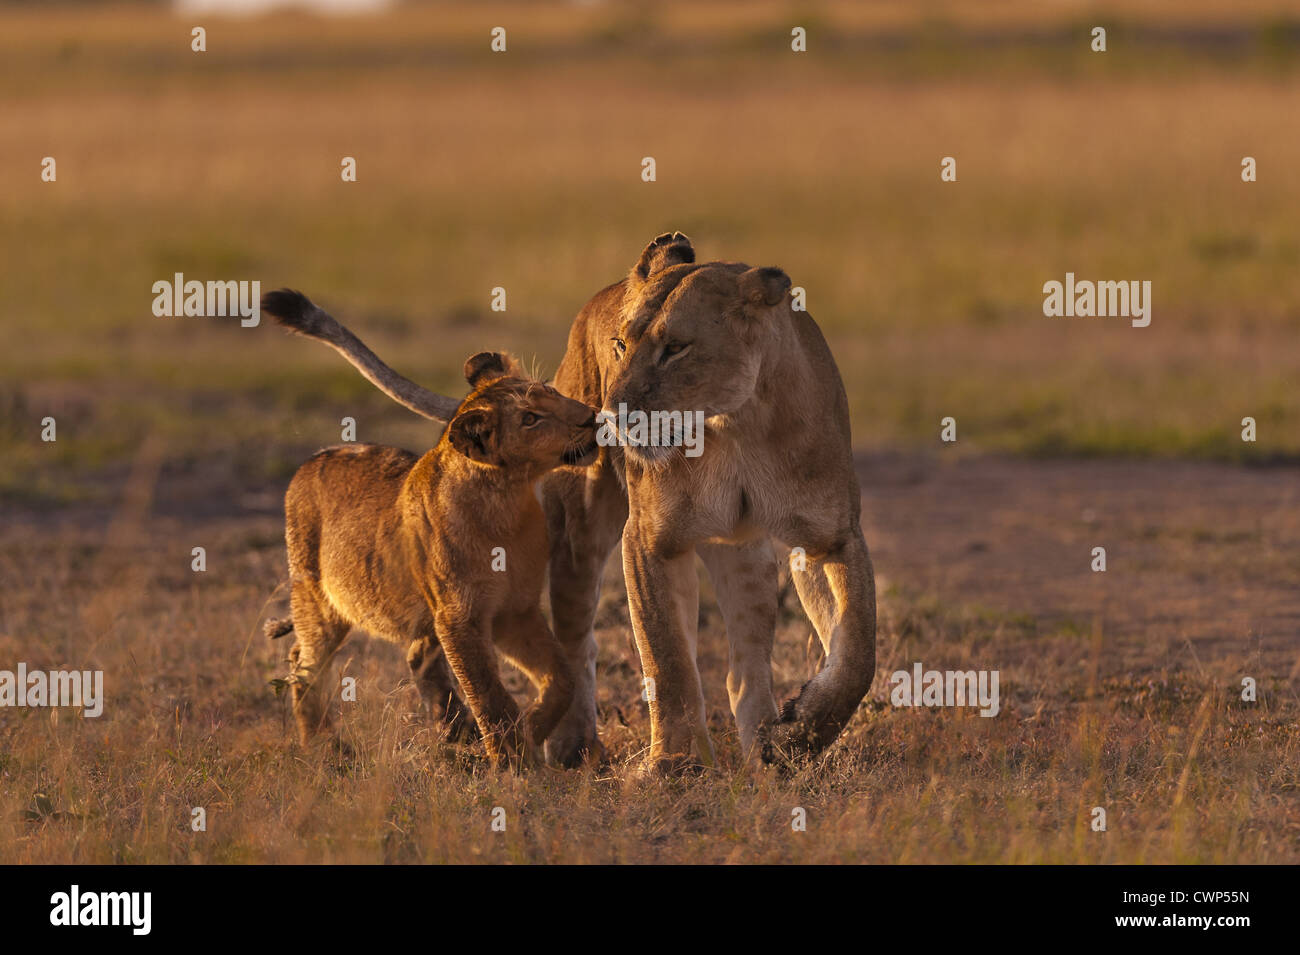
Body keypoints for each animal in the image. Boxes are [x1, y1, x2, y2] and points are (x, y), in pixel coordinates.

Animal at [260, 290, 600, 767]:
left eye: (550, 391)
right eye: (530, 419)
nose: (590, 417)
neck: (507, 503)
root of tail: (317, 454)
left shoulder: (516, 611)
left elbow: (562, 678)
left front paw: (531, 730)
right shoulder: (461, 618)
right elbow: (490, 695)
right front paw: (512, 763)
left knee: (414, 655)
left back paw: (454, 730)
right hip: (318, 600)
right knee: (304, 664)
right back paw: (323, 747)